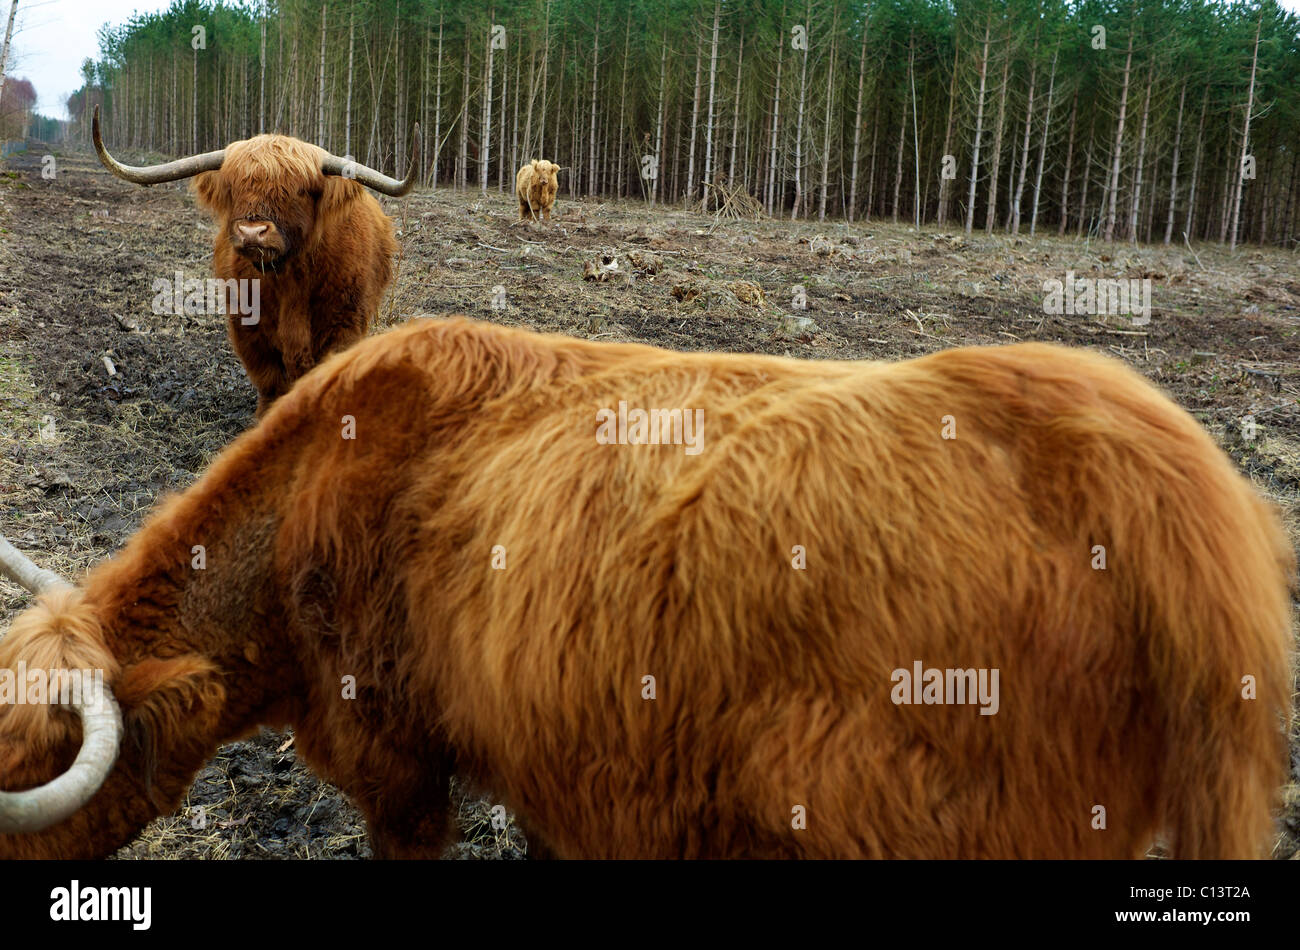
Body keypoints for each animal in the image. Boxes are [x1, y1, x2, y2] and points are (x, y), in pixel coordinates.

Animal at [92, 106, 420, 417]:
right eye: (233, 187)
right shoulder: (247, 326)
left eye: (300, 190)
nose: (252, 232)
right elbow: (270, 380)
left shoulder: (344, 325)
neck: (289, 279)